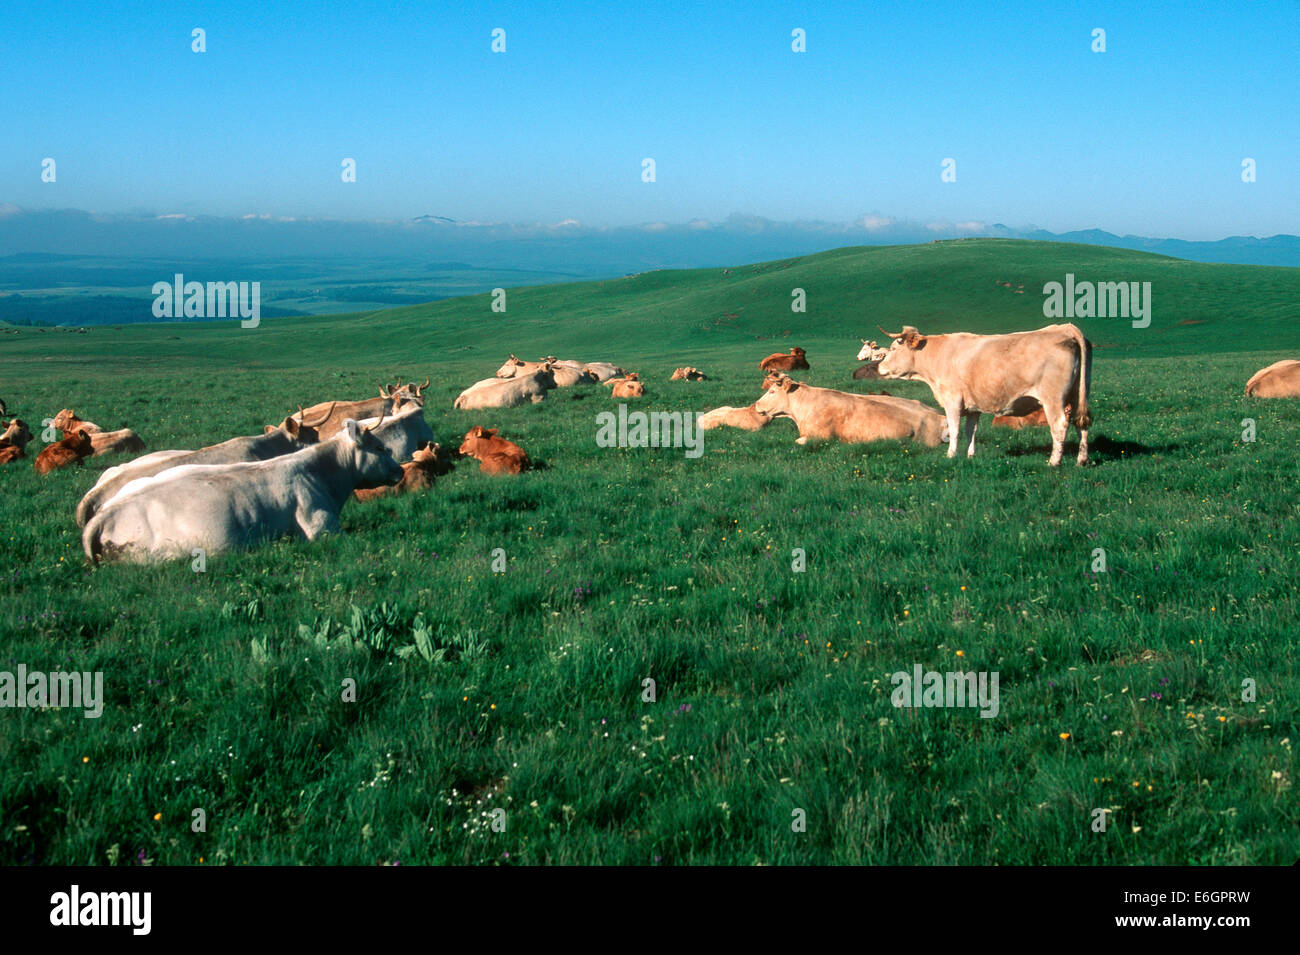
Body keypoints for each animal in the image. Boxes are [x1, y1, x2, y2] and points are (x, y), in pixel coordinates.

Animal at [874, 323, 1092, 466]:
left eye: (893, 348)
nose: (878, 367)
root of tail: (1066, 328)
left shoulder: (953, 400)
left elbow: (955, 430)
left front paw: (951, 455)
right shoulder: (973, 406)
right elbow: (972, 431)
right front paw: (970, 455)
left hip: (1053, 399)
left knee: (1060, 426)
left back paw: (1054, 462)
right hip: (1078, 395)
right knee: (1081, 424)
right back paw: (1081, 460)